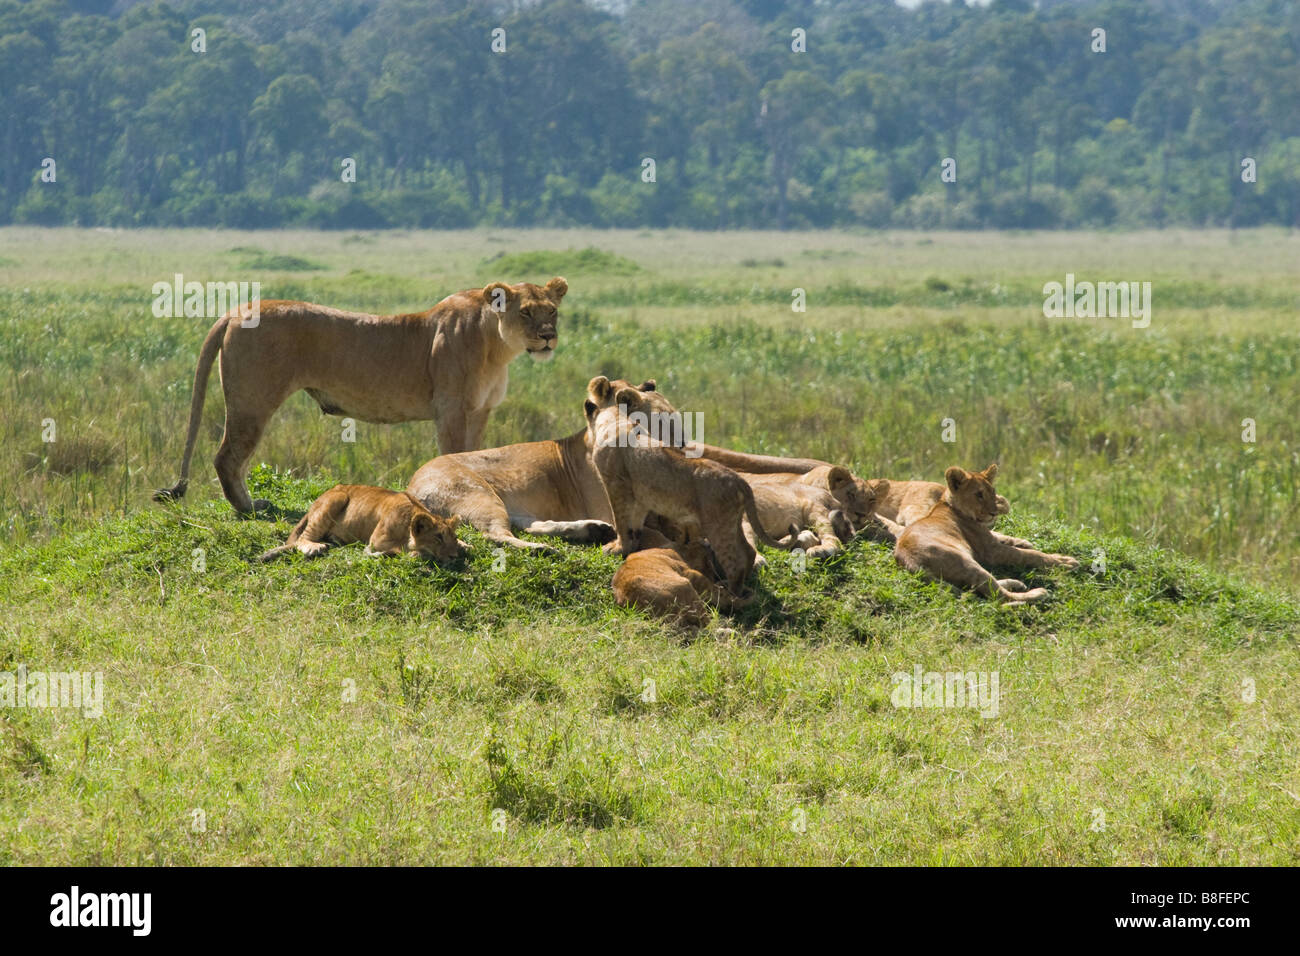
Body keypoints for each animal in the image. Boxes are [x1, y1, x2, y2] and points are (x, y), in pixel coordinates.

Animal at [154, 277, 568, 514]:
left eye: (552, 312)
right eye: (525, 313)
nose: (548, 336)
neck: (498, 347)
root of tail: (236, 310)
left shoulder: (481, 411)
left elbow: (473, 454)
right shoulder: (451, 409)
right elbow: (452, 454)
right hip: (253, 403)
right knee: (227, 458)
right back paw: (250, 508)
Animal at [257, 484, 466, 563]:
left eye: (453, 538)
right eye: (438, 538)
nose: (454, 557)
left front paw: (464, 545)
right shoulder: (375, 542)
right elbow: (399, 550)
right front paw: (417, 553)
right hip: (336, 498)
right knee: (302, 539)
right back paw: (314, 547)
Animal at [405, 376, 830, 551]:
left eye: (678, 423)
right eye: (662, 424)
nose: (684, 448)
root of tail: (410, 484)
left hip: (512, 506)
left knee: (527, 524)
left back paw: (587, 531)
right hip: (478, 496)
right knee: (498, 535)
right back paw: (548, 548)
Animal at [586, 394, 795, 593]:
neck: (617, 422)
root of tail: (739, 480)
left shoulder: (616, 487)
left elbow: (620, 522)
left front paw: (616, 548)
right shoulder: (640, 498)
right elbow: (634, 526)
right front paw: (629, 548)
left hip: (716, 525)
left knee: (734, 559)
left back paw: (732, 591)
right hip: (730, 521)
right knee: (748, 551)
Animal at [893, 464, 1078, 605]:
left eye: (993, 492)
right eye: (979, 494)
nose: (994, 513)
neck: (948, 505)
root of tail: (909, 562)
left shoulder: (991, 539)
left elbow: (1008, 539)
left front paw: (1025, 543)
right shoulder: (991, 551)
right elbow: (1030, 555)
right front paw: (1064, 561)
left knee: (985, 586)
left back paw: (1016, 583)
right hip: (964, 561)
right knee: (998, 595)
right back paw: (1037, 593)